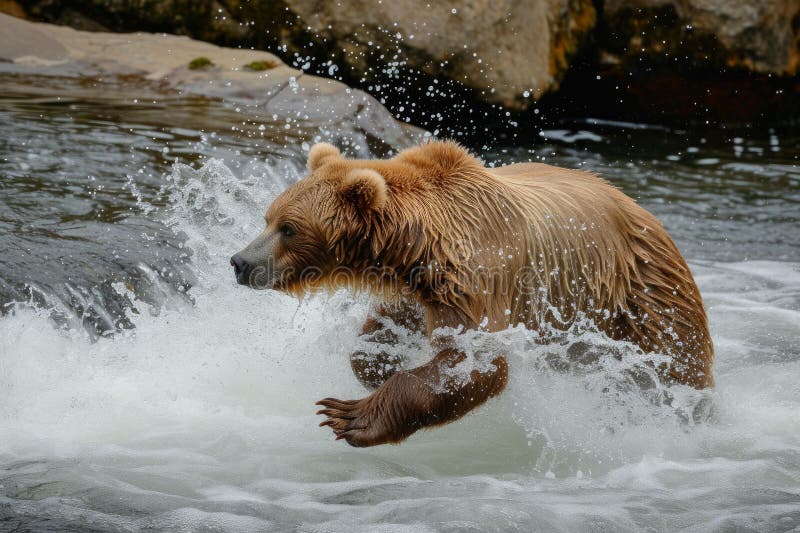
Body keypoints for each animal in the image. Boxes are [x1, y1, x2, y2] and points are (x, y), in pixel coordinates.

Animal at [230, 140, 713, 447]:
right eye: (268, 217)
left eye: (289, 228)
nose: (240, 261)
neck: (415, 246)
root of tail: (651, 216)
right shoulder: (418, 288)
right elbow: (378, 337)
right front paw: (381, 364)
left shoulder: (478, 275)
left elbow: (476, 363)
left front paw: (347, 415)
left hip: (641, 292)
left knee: (678, 362)